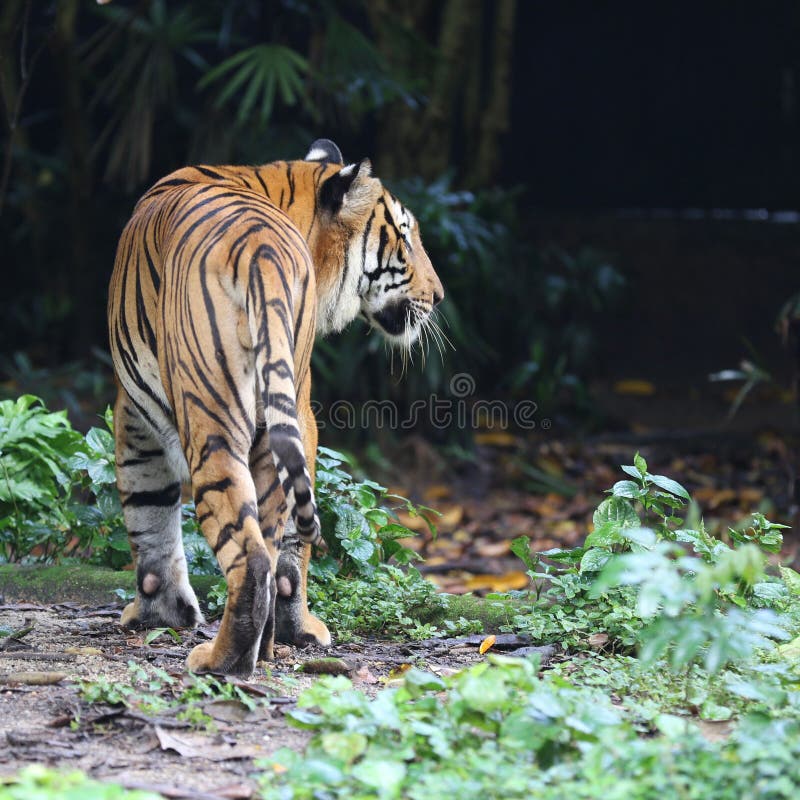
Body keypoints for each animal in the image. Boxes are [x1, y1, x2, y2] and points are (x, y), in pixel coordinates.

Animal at [107, 139, 444, 676]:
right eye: (405, 237)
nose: (439, 295)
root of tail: (260, 248)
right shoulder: (299, 402)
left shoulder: (134, 412)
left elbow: (148, 508)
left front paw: (157, 614)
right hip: (267, 428)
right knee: (270, 539)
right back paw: (262, 650)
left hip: (211, 419)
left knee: (249, 556)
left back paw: (220, 660)